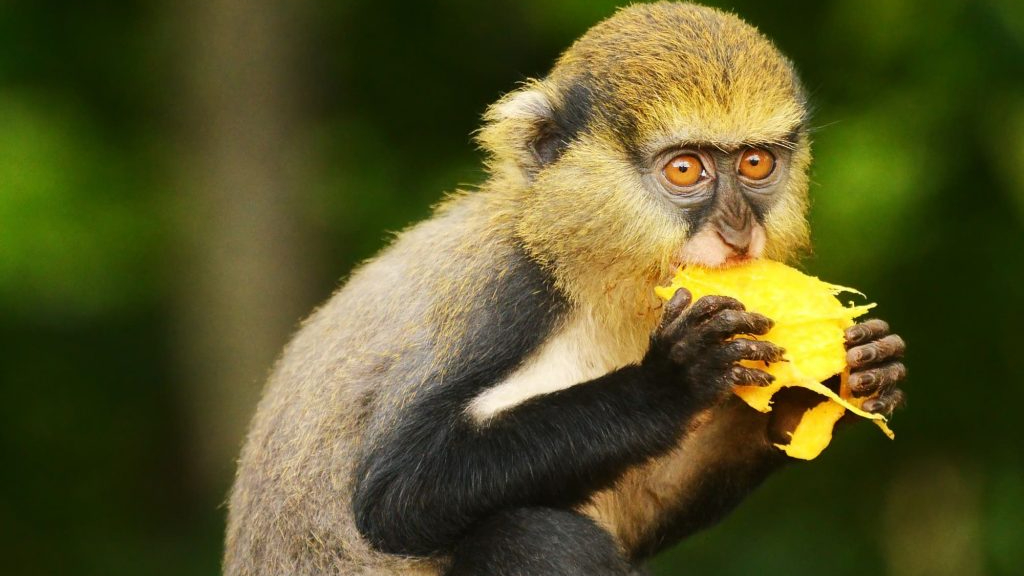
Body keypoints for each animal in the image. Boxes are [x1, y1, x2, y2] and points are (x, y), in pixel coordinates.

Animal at [223, 3, 908, 575]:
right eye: (687, 169)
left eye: (756, 163)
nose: (738, 230)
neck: (577, 268)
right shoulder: (507, 295)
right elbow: (397, 495)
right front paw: (672, 382)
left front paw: (840, 380)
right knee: (529, 535)